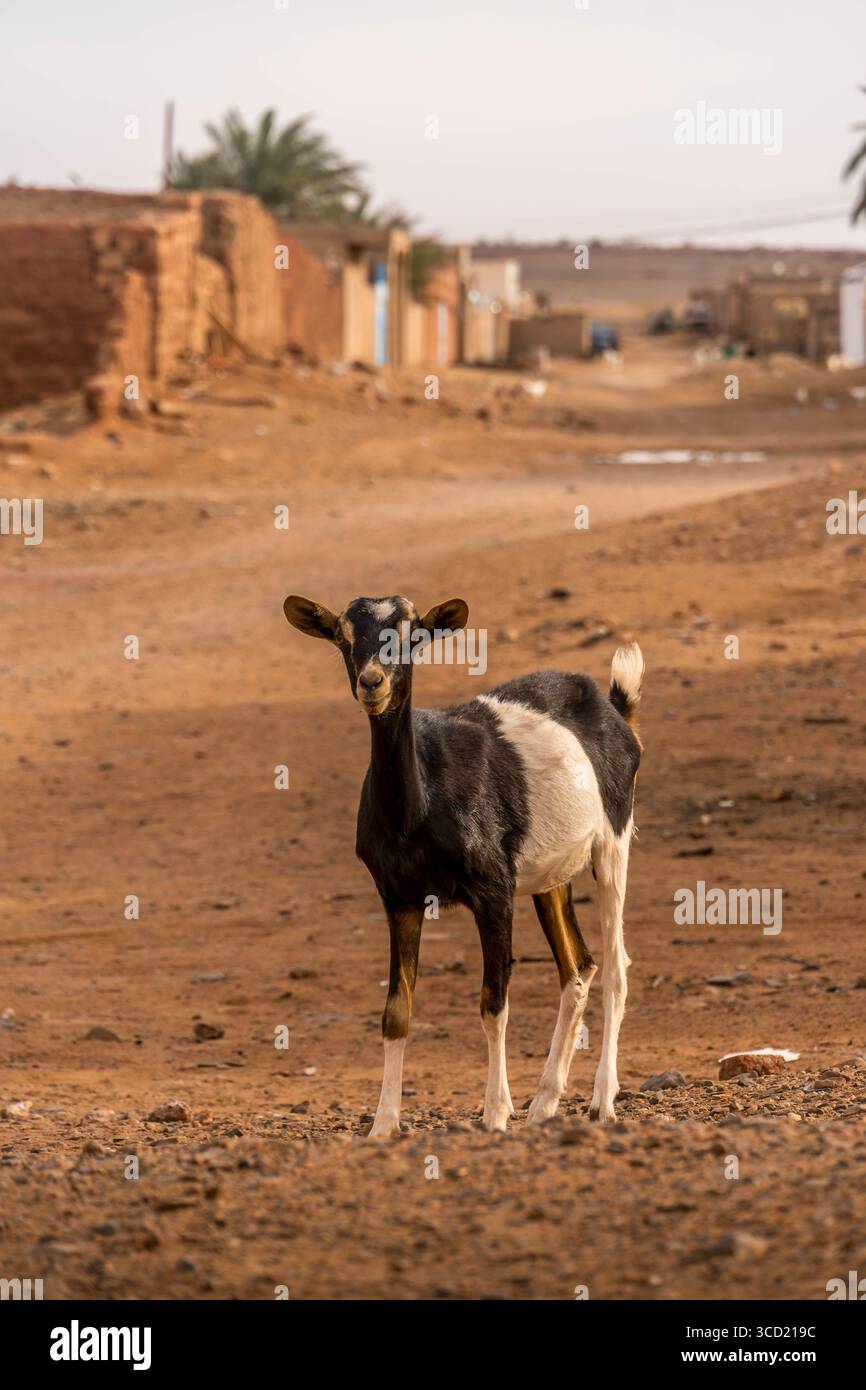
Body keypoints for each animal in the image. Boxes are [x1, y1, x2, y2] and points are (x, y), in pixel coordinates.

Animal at [283, 593, 643, 1136]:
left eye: (412, 636)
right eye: (343, 637)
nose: (372, 682)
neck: (418, 806)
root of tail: (614, 707)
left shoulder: (493, 891)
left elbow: (493, 1004)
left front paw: (495, 1114)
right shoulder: (400, 900)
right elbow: (396, 1013)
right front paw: (381, 1126)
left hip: (612, 846)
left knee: (616, 967)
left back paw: (601, 1102)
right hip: (549, 879)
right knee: (579, 967)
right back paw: (545, 1103)